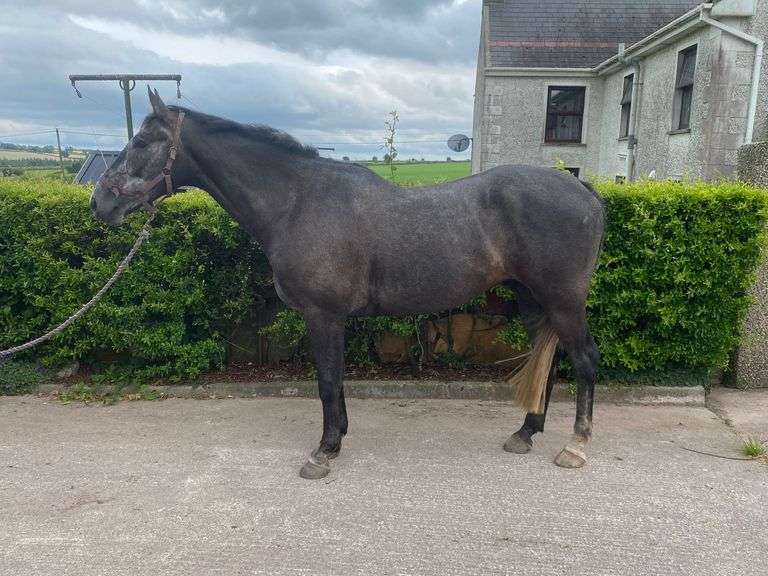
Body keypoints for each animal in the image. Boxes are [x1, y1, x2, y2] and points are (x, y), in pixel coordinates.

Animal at [90, 88, 605, 479]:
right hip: (533, 300)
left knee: (584, 360)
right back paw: (525, 433)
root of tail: (581, 189)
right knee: (547, 360)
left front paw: (323, 451)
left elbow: (326, 380)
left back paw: (576, 446)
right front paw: (336, 439)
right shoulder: (330, 318)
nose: (100, 203)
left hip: (563, 300)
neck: (298, 201)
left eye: (142, 140)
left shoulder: (323, 315)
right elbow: (334, 381)